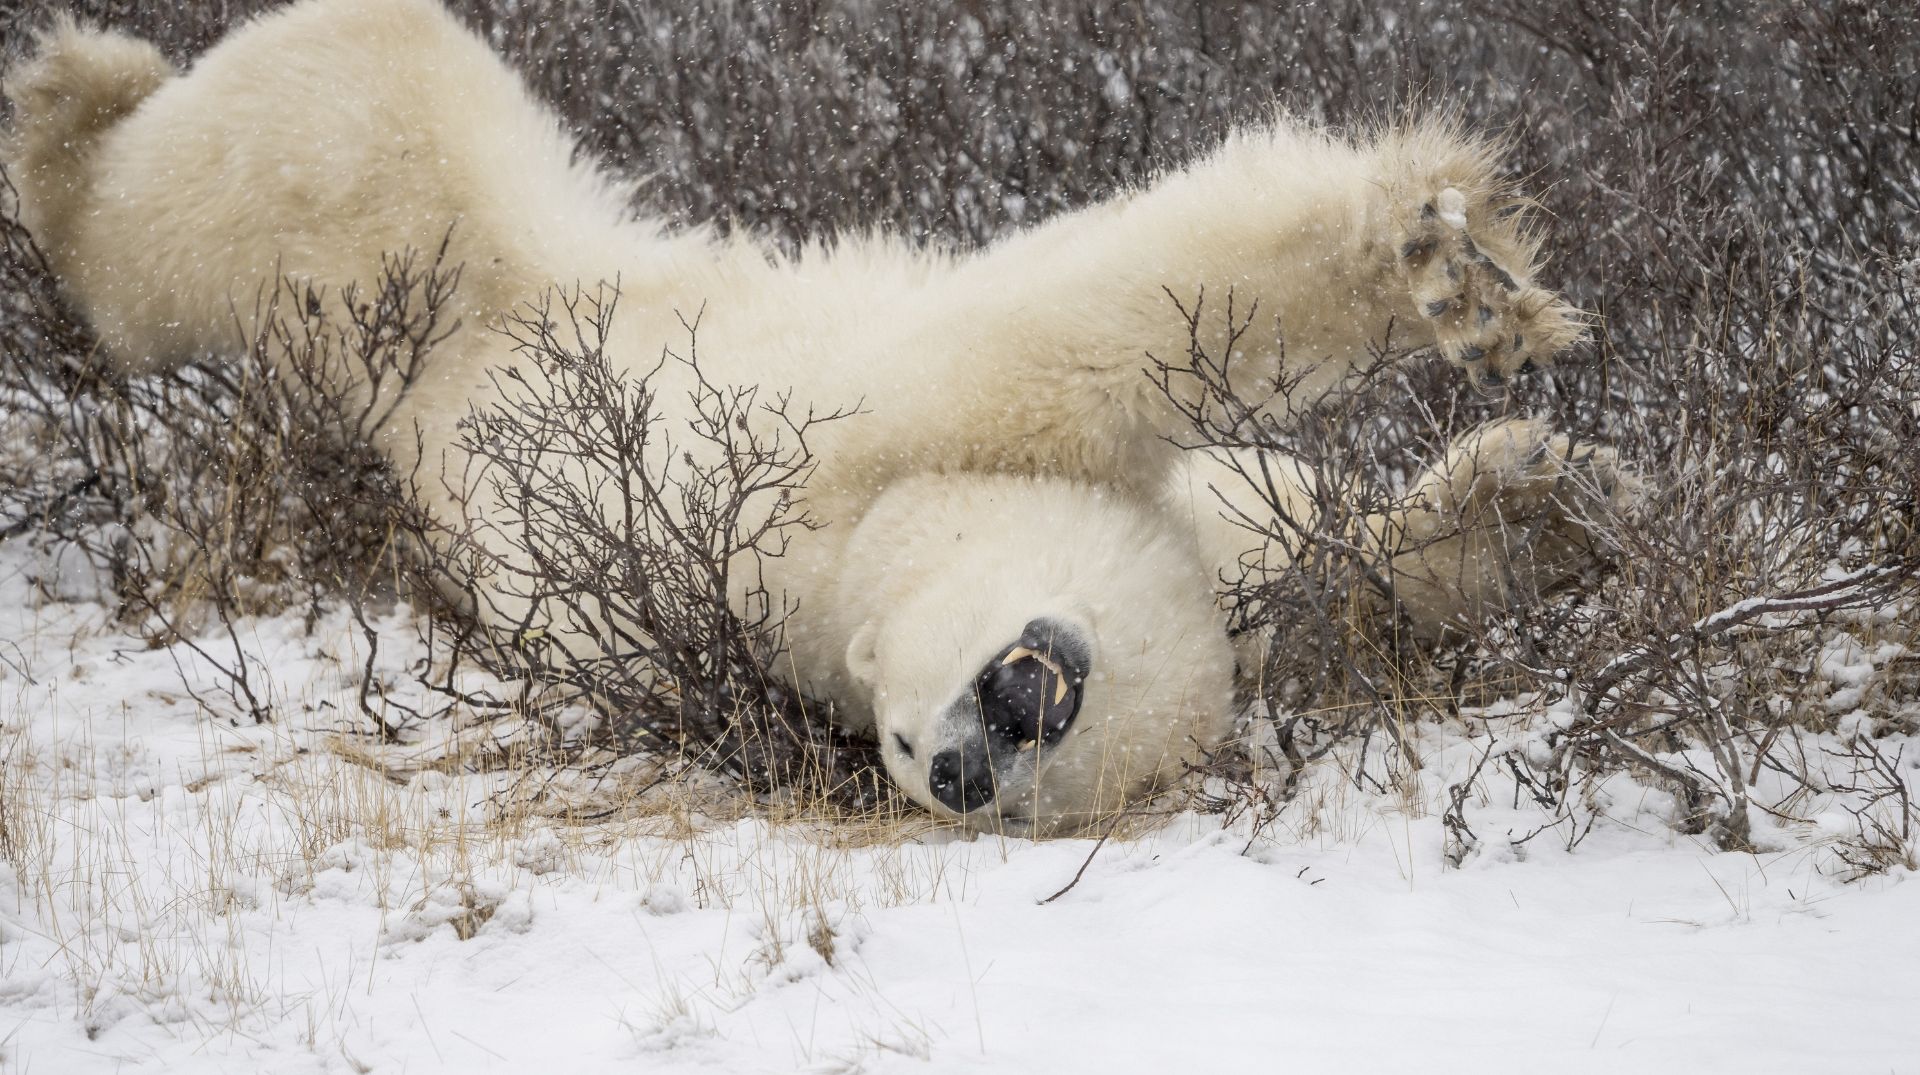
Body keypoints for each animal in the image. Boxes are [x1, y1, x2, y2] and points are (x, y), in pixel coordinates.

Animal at [3, 0, 1607, 833]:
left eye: (1021, 794)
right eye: (906, 744)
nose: (965, 762)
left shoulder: (1226, 534)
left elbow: (1350, 560)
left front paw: (1546, 495)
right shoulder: (843, 451)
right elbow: (1081, 319)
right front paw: (1453, 274)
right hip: (398, 207)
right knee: (211, 194)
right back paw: (72, 93)